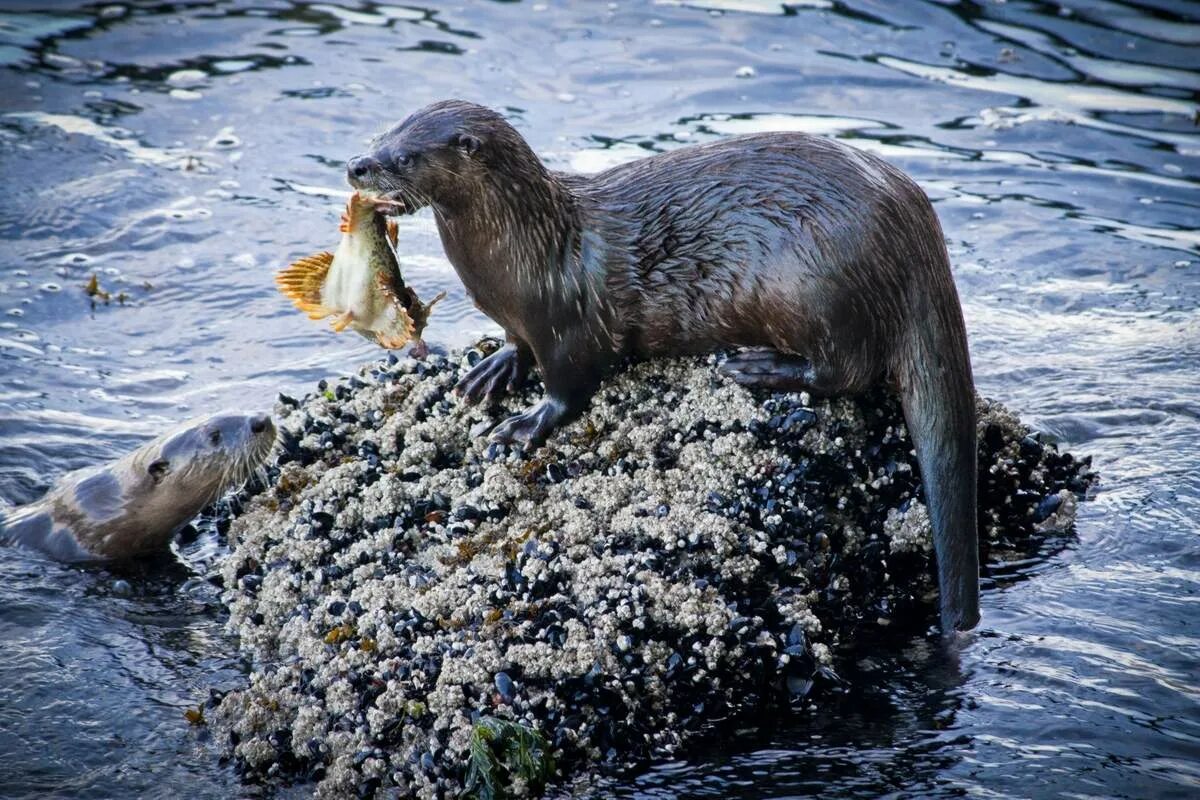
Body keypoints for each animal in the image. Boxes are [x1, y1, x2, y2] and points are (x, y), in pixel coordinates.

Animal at [345, 100, 974, 633]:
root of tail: (916, 231)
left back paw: (758, 367)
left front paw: (526, 424)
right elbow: (516, 345)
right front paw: (493, 370)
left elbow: (569, 388)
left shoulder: (568, 326)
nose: (356, 165)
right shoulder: (519, 320)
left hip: (817, 286)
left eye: (405, 156)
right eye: (381, 134)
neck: (524, 253)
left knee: (848, 370)